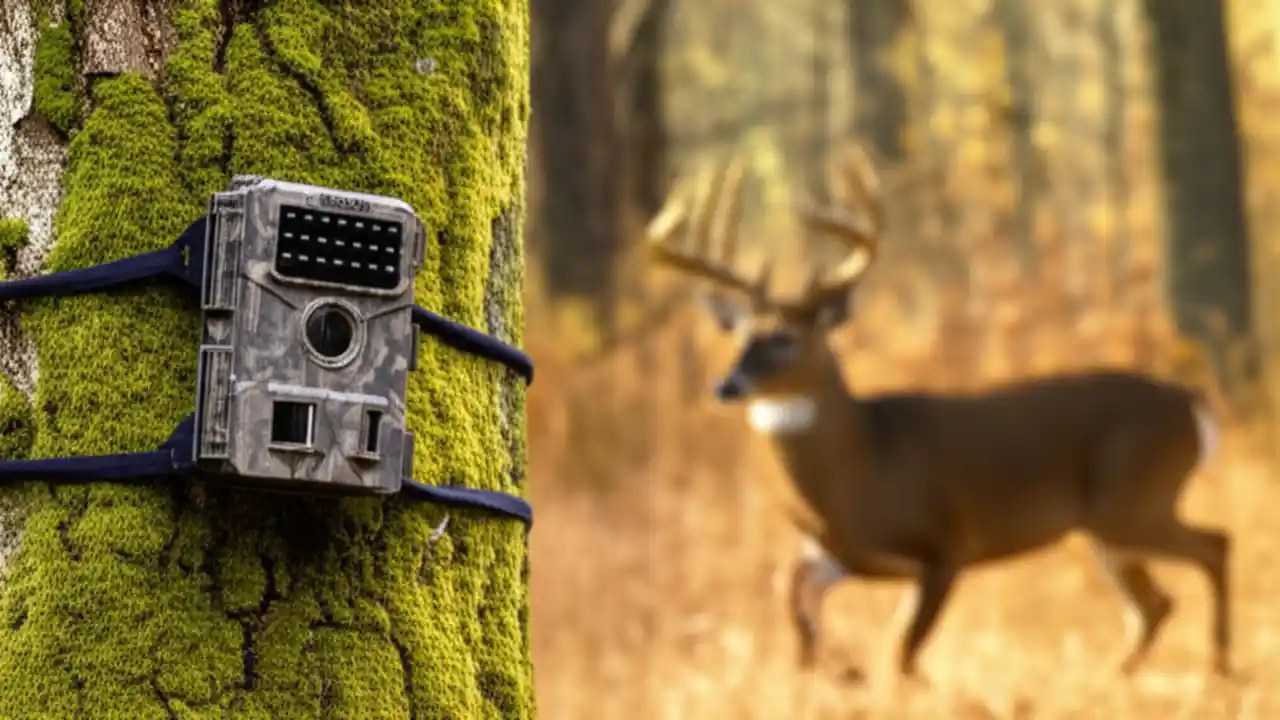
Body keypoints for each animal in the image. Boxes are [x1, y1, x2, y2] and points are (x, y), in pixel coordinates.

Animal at [643, 146, 1232, 682]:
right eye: (739, 335)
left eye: (786, 337)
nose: (727, 385)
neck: (862, 466)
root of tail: (1191, 403)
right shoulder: (838, 555)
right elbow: (790, 592)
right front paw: (833, 669)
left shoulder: (945, 548)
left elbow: (900, 651)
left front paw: (877, 677)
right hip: (1109, 528)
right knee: (1157, 604)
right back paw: (1116, 675)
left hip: (1132, 500)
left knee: (1214, 546)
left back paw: (1218, 668)